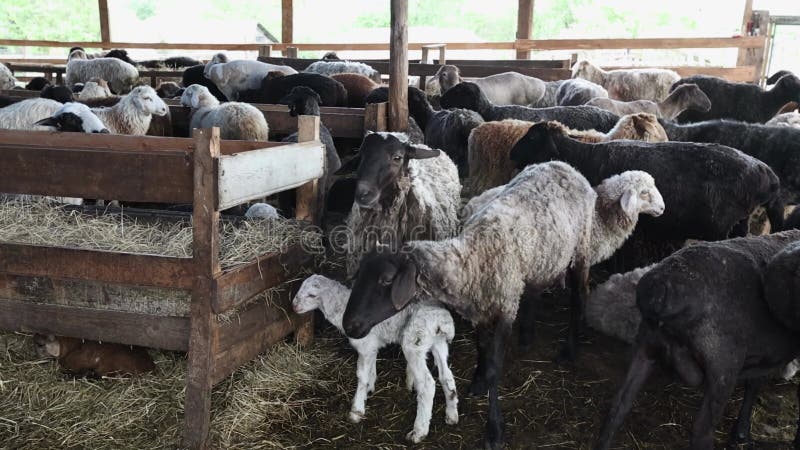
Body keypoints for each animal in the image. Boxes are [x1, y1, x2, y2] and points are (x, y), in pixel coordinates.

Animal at [292, 275, 458, 443]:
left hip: (415, 341)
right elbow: (371, 369)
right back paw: (451, 415)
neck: (343, 306)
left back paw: (418, 432)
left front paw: (357, 410)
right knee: (446, 376)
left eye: (312, 295)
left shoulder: (365, 345)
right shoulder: (371, 346)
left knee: (427, 384)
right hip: (438, 342)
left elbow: (361, 375)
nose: (294, 307)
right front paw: (369, 389)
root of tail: (443, 322)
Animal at [343, 161, 665, 449]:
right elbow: (481, 349)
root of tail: (565, 166)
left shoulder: (506, 308)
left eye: (386, 280)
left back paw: (569, 349)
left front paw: (494, 429)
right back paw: (527, 337)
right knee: (534, 291)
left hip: (580, 252)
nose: (349, 324)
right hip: (541, 259)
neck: (473, 258)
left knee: (578, 298)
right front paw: (477, 381)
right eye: (359, 275)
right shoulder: (479, 310)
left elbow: (495, 367)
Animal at [510, 121, 780, 243]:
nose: (511, 154)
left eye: (532, 137)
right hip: (740, 222)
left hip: (722, 226)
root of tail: (766, 172)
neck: (583, 156)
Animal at [594, 231, 800, 450]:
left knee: (618, 407)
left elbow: (755, 383)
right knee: (701, 433)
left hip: (646, 346)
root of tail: (662, 290)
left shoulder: (767, 354)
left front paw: (741, 433)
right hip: (723, 367)